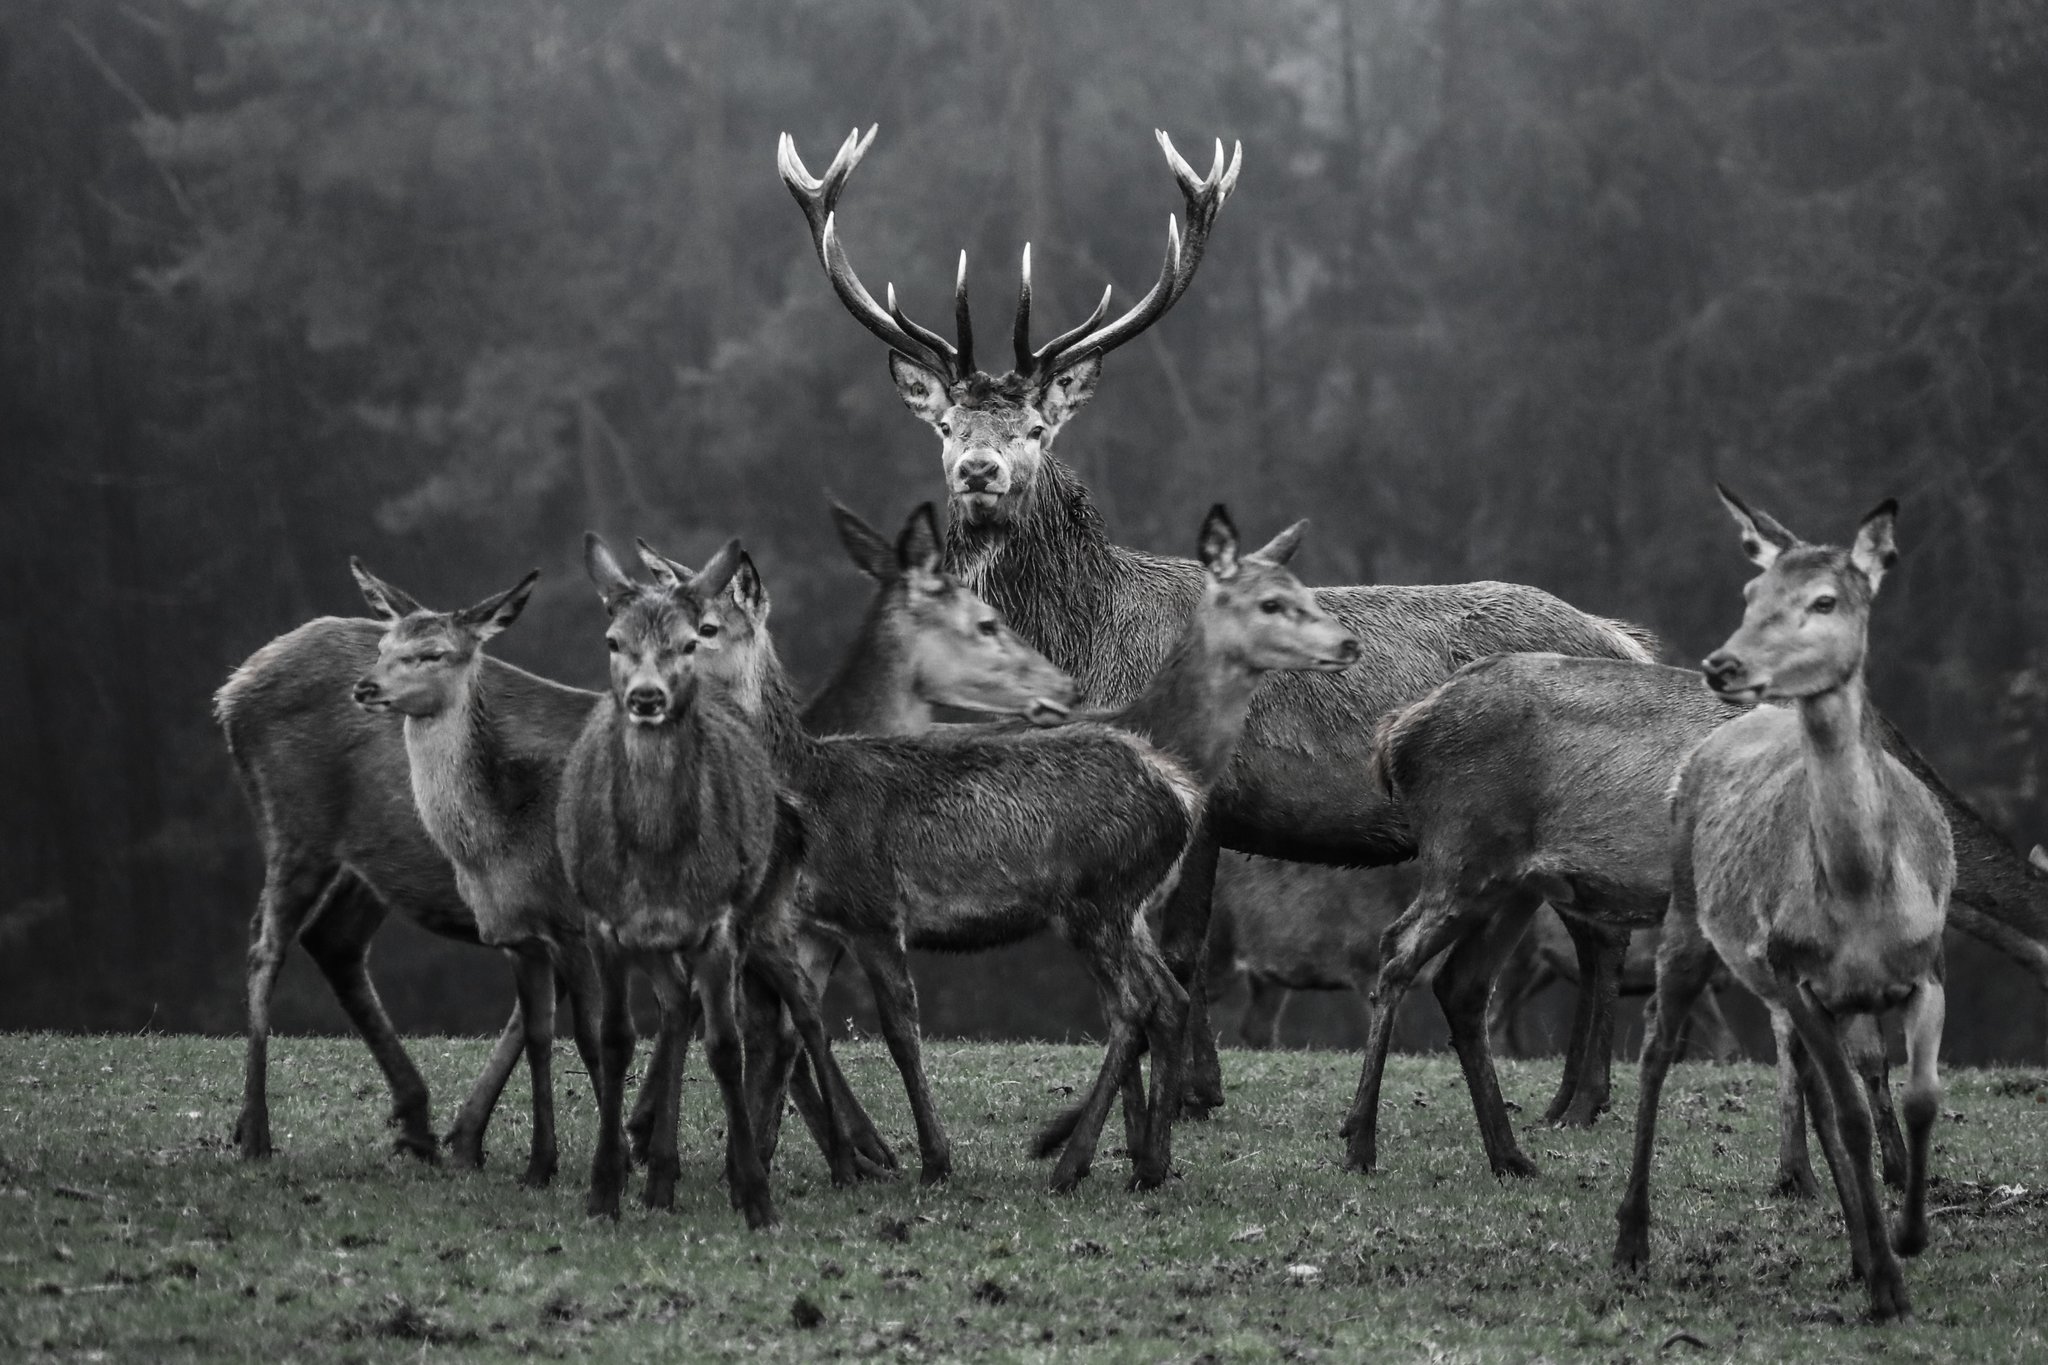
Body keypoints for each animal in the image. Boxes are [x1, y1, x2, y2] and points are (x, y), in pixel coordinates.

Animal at [556, 534, 856, 1227]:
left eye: (706, 631)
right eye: (613, 640)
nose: (645, 697)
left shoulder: (737, 923)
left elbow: (730, 1028)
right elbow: (677, 1017)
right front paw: (643, 1155)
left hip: (768, 925)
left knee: (799, 1014)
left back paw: (848, 1159)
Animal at [779, 125, 1659, 1123]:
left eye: (1037, 426)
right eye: (947, 424)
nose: (979, 471)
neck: (1094, 643)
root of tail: (1626, 639)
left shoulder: (1202, 794)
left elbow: (1183, 943)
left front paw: (1187, 1092)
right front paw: (1193, 1087)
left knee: (1601, 929)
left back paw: (1579, 1100)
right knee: (1595, 926)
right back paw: (1573, 1097)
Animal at [1614, 490, 1953, 1324]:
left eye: (1825, 600)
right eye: (1750, 591)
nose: (1723, 664)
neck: (1863, 894)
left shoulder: (1927, 968)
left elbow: (1920, 1097)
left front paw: (1906, 1238)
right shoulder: (1797, 974)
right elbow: (1855, 1117)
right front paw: (1891, 1282)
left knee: (1817, 1086)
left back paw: (1858, 1253)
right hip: (1687, 916)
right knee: (1656, 1047)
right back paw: (1631, 1241)